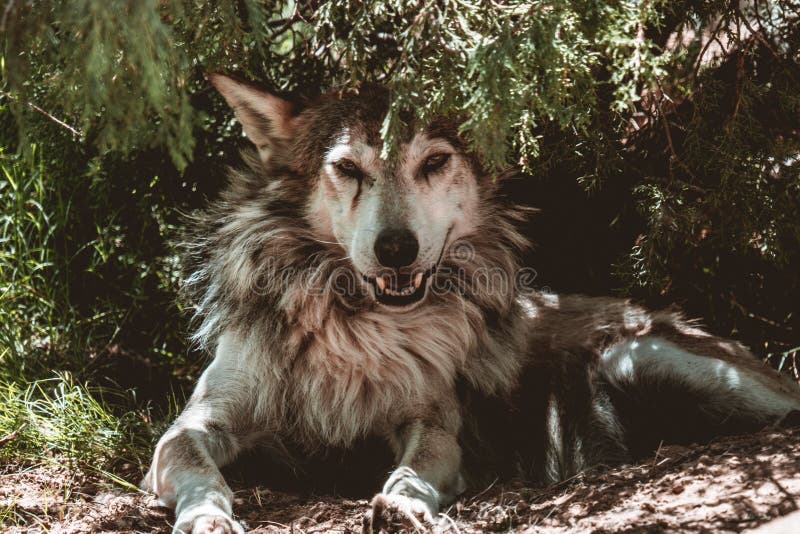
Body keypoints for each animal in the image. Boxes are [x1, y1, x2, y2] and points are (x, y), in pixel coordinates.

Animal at [142, 73, 800, 534]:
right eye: (348, 168)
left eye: (434, 161)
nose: (397, 248)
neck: (356, 332)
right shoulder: (193, 426)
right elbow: (195, 464)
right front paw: (207, 516)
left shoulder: (434, 428)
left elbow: (409, 474)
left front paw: (402, 508)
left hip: (634, 356)